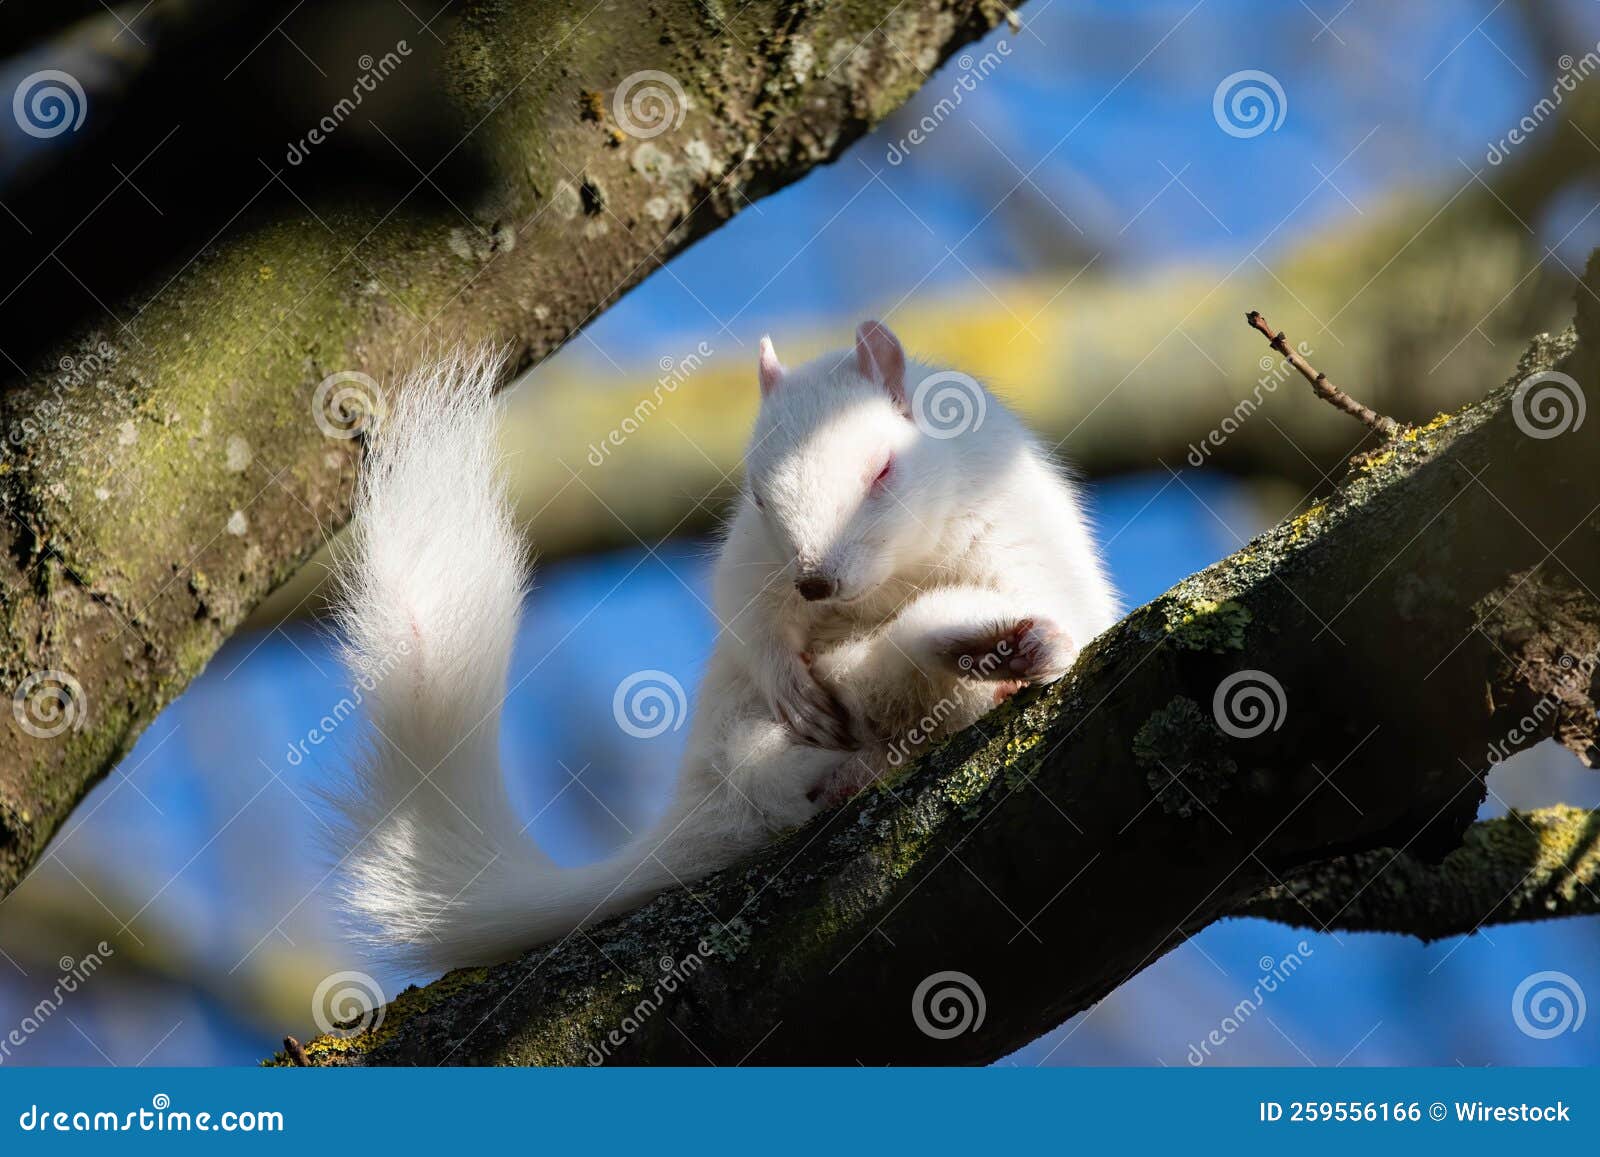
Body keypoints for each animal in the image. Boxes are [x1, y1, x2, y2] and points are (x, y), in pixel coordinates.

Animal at [331, 322, 1117, 971]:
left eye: (883, 471)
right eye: (762, 498)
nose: (816, 582)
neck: (888, 580)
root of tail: (694, 813)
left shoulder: (1009, 532)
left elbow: (1047, 593)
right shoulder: (750, 560)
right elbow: (747, 617)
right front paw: (790, 681)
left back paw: (993, 651)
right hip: (738, 736)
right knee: (781, 771)